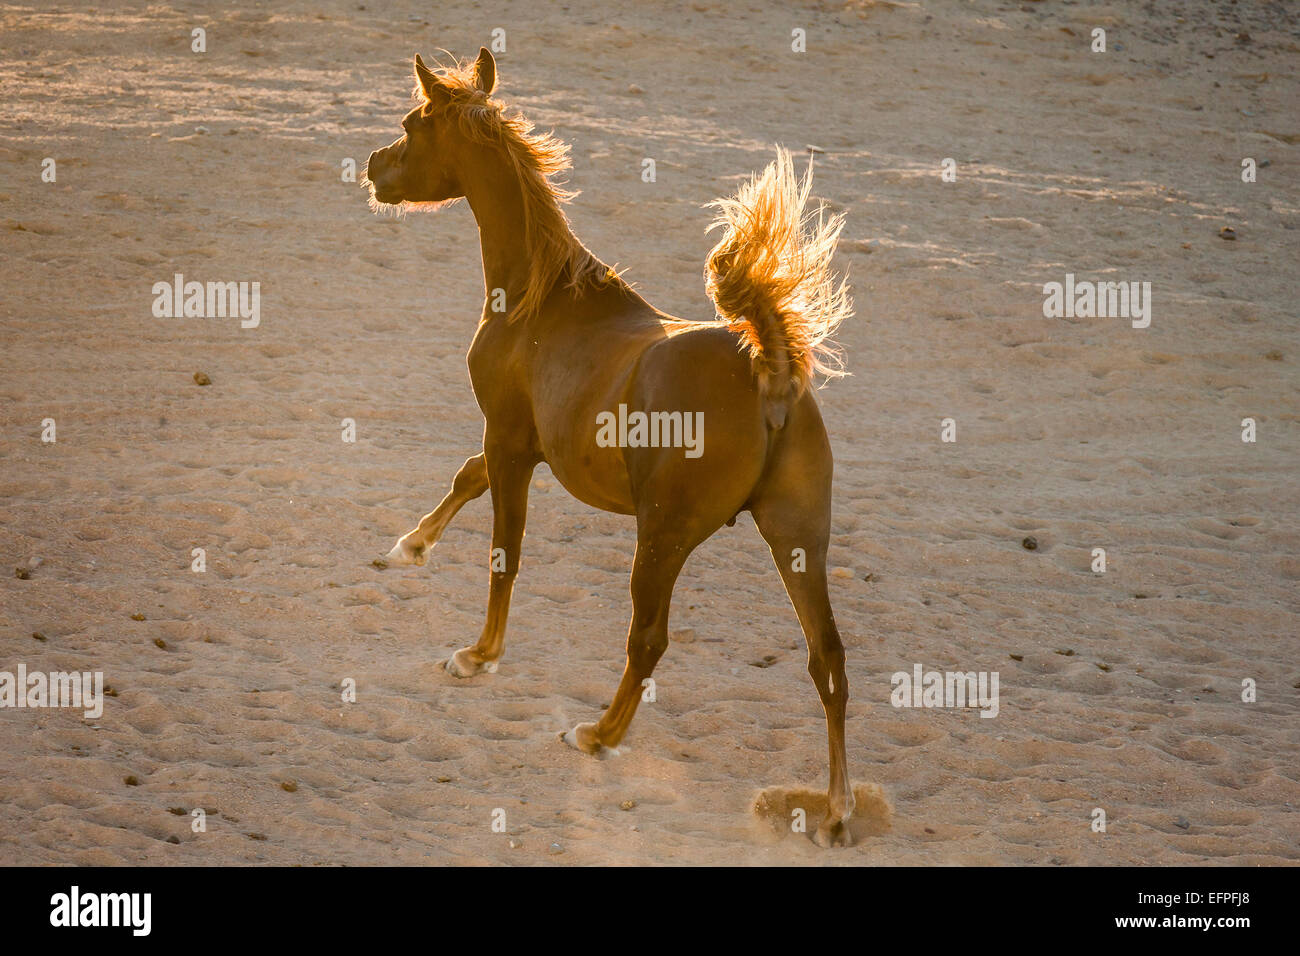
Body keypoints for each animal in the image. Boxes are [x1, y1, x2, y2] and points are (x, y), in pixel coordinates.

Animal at [364, 47, 857, 847]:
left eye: (412, 124)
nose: (373, 167)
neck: (541, 299)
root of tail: (768, 372)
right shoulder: (518, 444)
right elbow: (466, 479)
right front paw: (409, 545)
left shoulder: (510, 443)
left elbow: (504, 553)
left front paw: (479, 654)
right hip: (797, 538)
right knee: (828, 661)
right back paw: (838, 810)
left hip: (663, 536)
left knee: (648, 639)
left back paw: (597, 733)